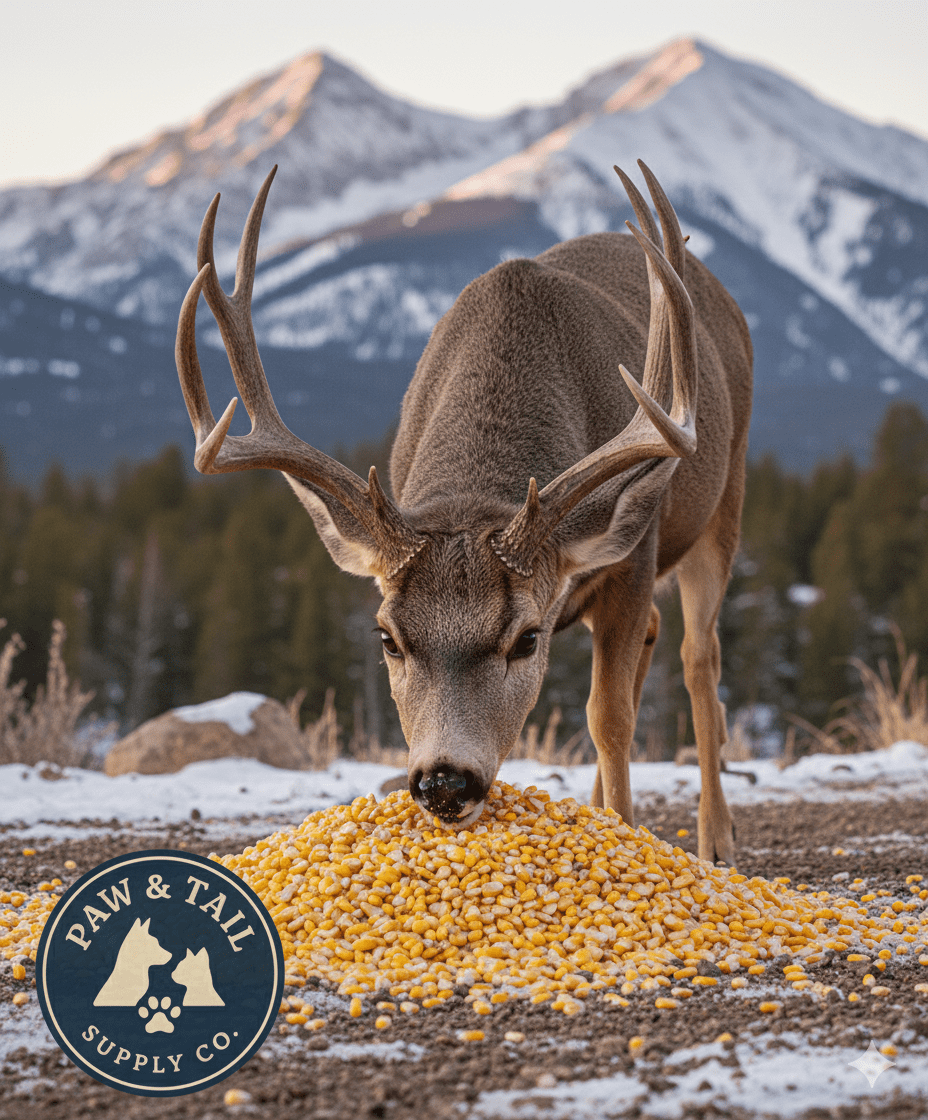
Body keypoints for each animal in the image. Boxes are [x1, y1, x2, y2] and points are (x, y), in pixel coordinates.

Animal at [175, 160, 752, 865]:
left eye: (526, 639)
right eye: (387, 638)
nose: (446, 782)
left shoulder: (632, 553)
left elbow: (609, 717)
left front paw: (621, 834)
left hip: (725, 498)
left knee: (700, 656)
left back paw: (716, 836)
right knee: (657, 632)